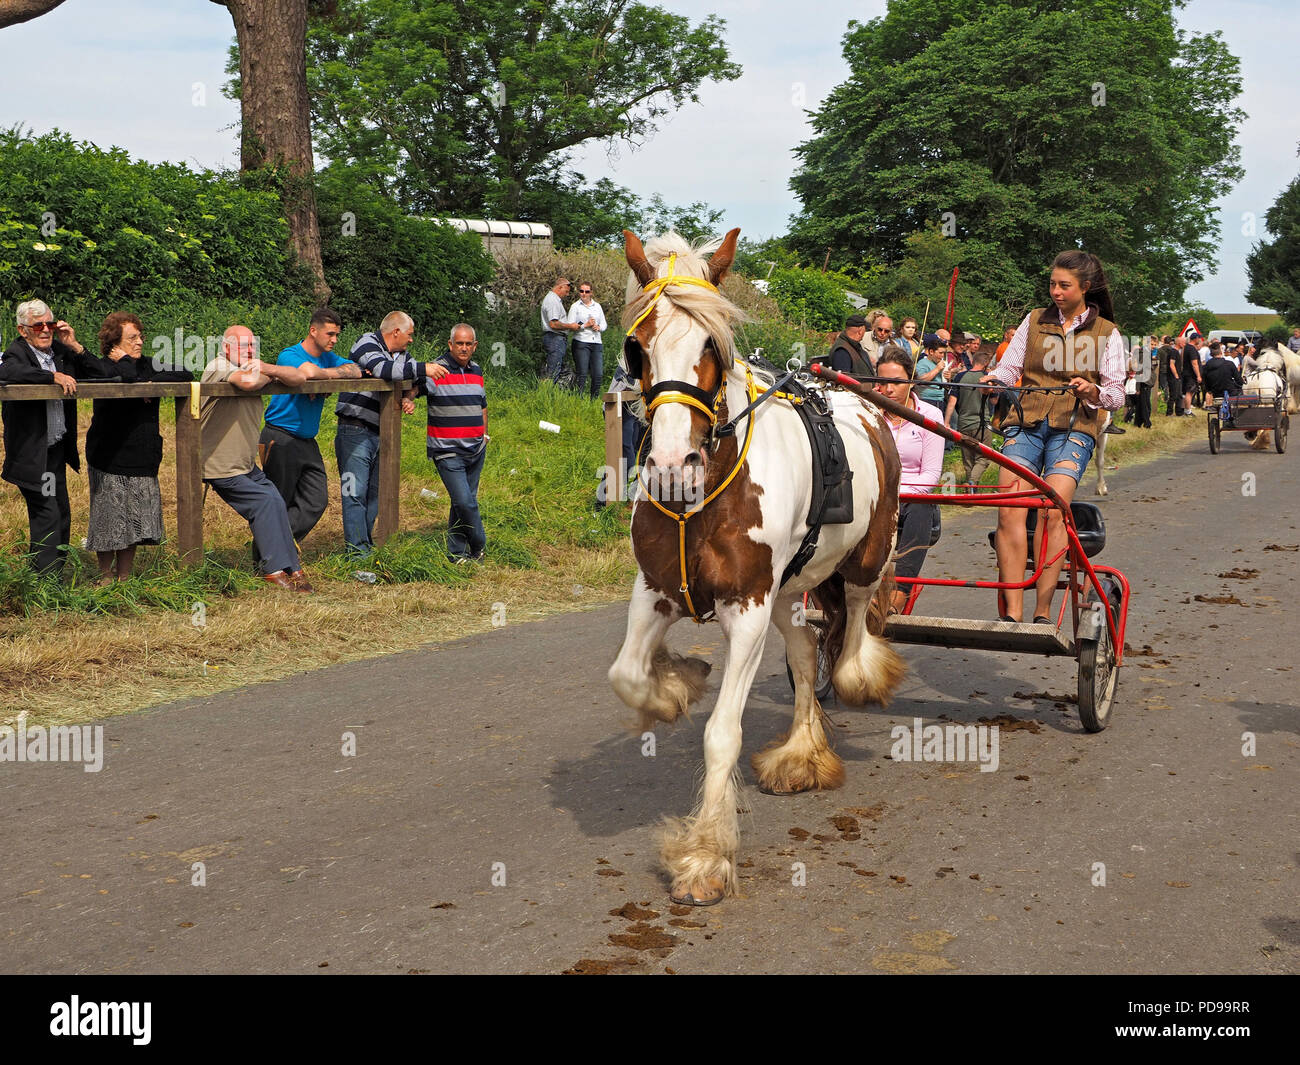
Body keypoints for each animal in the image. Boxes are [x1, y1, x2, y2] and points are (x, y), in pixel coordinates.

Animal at [607, 229, 905, 906]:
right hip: (788, 591)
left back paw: (858, 676)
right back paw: (801, 753)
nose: (671, 466)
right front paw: (674, 684)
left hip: (864, 559)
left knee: (851, 629)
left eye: (712, 345)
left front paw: (704, 857)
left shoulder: (745, 609)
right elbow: (627, 675)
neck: (704, 495)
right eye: (637, 346)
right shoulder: (655, 589)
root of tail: (862, 403)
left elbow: (723, 734)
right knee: (804, 647)